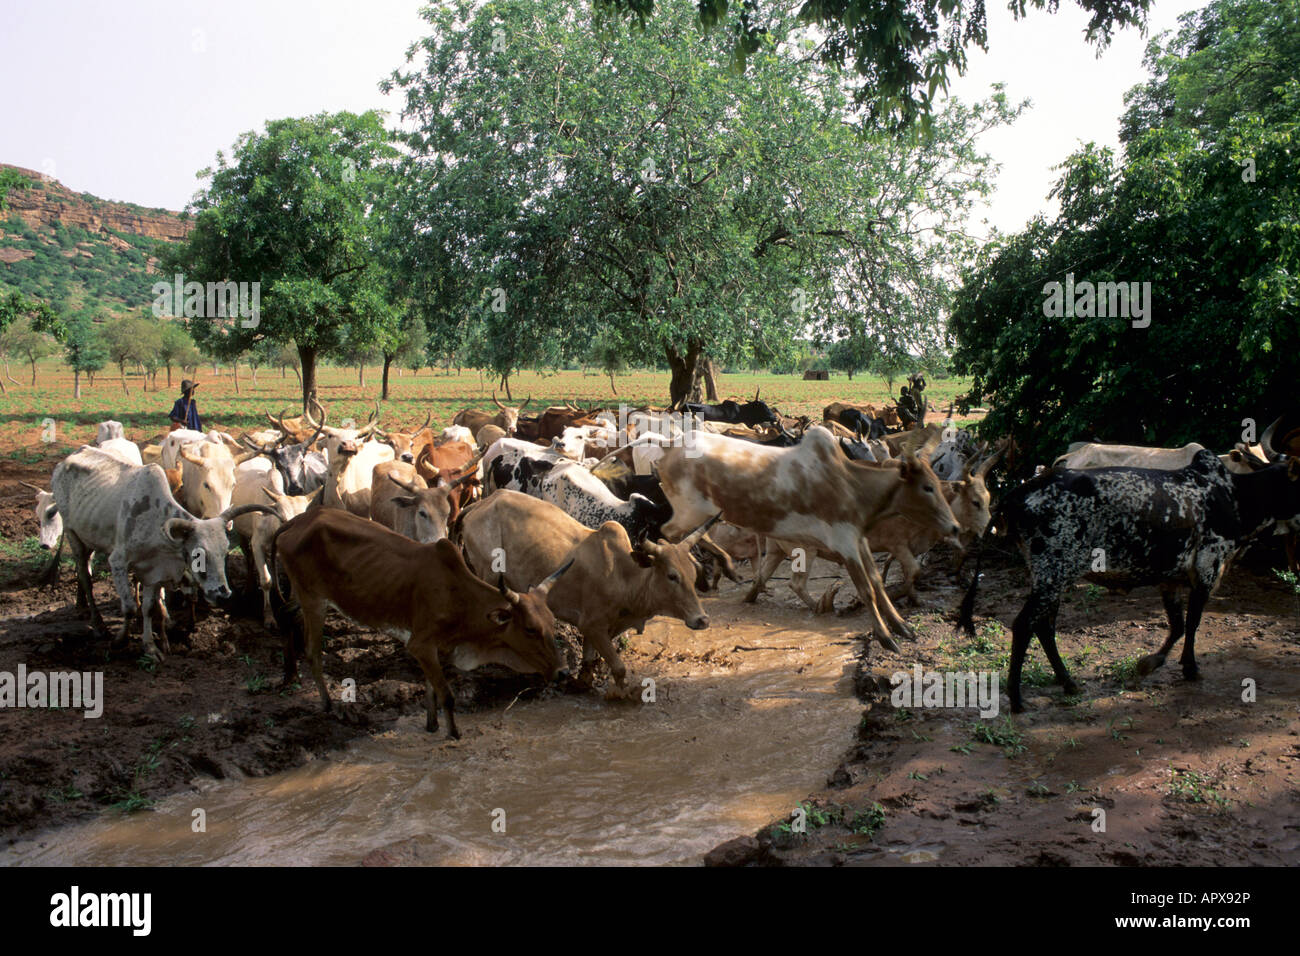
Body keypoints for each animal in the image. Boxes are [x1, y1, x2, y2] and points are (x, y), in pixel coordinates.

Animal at [50, 446, 271, 660]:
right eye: (197, 555)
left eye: (224, 552)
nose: (223, 595)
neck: (154, 524)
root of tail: (64, 462)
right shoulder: (118, 562)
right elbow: (129, 607)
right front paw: (120, 640)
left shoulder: (153, 571)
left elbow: (148, 607)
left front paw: (150, 647)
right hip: (73, 536)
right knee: (85, 577)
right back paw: (97, 624)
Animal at [268, 508, 572, 737]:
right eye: (530, 629)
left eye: (553, 623)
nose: (564, 672)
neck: (458, 596)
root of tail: (298, 520)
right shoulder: (421, 645)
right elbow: (446, 694)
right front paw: (453, 734)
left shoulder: (433, 648)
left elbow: (431, 690)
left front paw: (432, 725)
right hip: (314, 601)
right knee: (313, 653)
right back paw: (328, 704)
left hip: (302, 598)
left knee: (285, 615)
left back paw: (290, 673)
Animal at [460, 490, 714, 695]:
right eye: (672, 576)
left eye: (693, 574)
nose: (702, 620)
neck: (624, 576)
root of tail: (481, 504)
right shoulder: (593, 625)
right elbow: (619, 668)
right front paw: (624, 696)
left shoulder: (598, 629)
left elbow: (589, 661)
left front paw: (580, 683)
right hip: (487, 573)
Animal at [657, 426, 959, 649]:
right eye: (927, 487)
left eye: (936, 482)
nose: (955, 527)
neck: (851, 484)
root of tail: (670, 447)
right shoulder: (845, 543)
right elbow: (867, 590)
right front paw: (885, 637)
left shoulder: (859, 541)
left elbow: (877, 583)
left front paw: (902, 626)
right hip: (690, 511)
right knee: (668, 535)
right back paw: (708, 570)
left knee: (677, 537)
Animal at [957, 451, 1300, 712]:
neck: (1233, 495)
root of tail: (1016, 494)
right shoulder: (1207, 568)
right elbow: (1192, 624)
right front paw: (1188, 668)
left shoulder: (1170, 580)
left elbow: (1178, 625)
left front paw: (1150, 663)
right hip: (1052, 572)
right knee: (1024, 624)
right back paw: (1017, 699)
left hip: (1051, 576)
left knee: (1044, 626)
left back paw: (1068, 683)